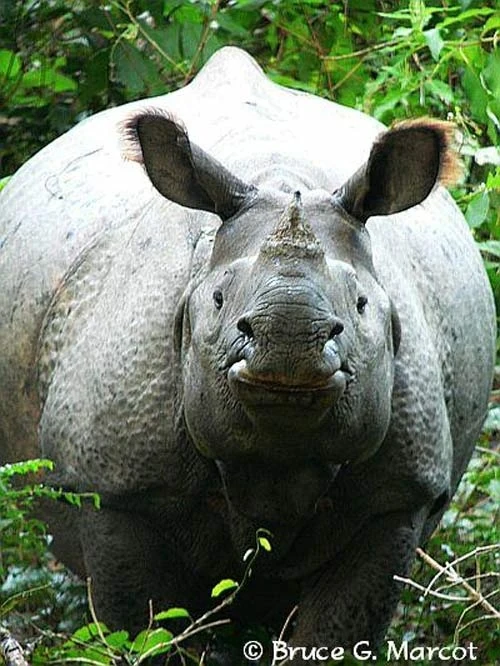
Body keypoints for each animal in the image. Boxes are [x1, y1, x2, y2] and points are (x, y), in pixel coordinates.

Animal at [0, 46, 495, 659]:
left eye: (360, 305)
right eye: (216, 300)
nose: (289, 343)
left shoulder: (398, 496)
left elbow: (337, 631)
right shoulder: (113, 490)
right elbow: (142, 628)